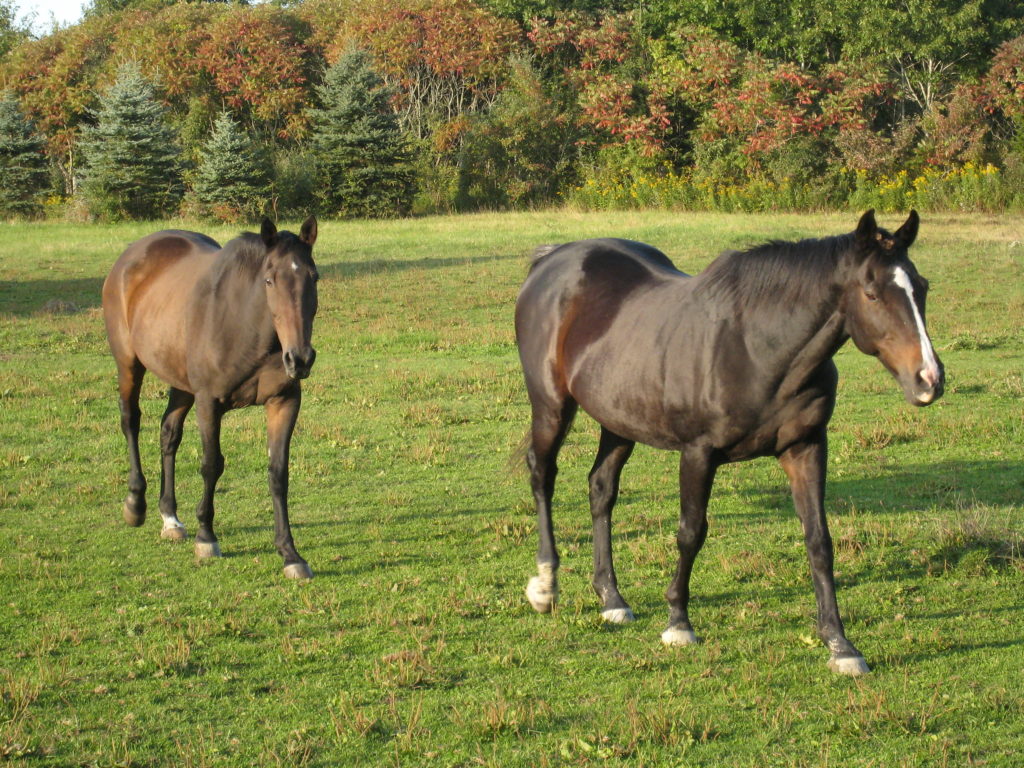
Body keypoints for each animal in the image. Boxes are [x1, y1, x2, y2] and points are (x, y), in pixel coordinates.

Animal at [102, 217, 320, 579]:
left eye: (313, 277)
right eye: (269, 280)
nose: (299, 358)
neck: (245, 327)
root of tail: (131, 255)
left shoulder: (284, 402)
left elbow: (278, 473)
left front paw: (290, 554)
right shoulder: (208, 402)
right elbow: (211, 465)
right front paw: (206, 538)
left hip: (181, 383)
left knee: (168, 434)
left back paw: (170, 518)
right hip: (129, 363)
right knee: (130, 420)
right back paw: (135, 504)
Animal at [514, 210, 943, 675]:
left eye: (921, 287)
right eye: (872, 293)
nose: (929, 379)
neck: (756, 346)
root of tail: (551, 260)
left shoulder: (806, 448)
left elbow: (819, 540)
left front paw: (840, 644)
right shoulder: (698, 453)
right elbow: (691, 532)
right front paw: (678, 623)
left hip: (619, 419)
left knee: (601, 489)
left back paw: (611, 597)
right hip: (551, 406)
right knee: (543, 476)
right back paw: (545, 585)